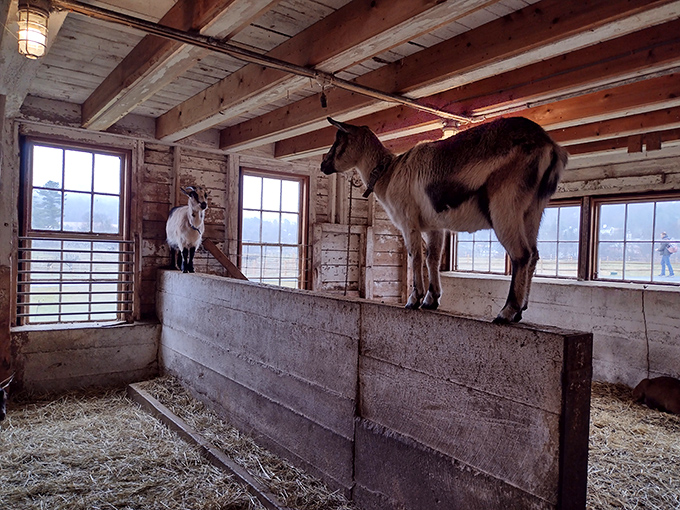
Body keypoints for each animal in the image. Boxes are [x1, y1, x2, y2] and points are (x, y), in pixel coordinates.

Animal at [321, 116, 568, 324]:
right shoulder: (434, 226)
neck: (389, 174)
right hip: (532, 210)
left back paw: (506, 312)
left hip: (506, 205)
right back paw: (520, 312)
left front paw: (414, 300)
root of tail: (549, 146)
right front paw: (432, 300)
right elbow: (432, 257)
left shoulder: (408, 221)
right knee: (534, 255)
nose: (324, 164)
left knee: (521, 254)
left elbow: (415, 256)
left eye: (338, 140)